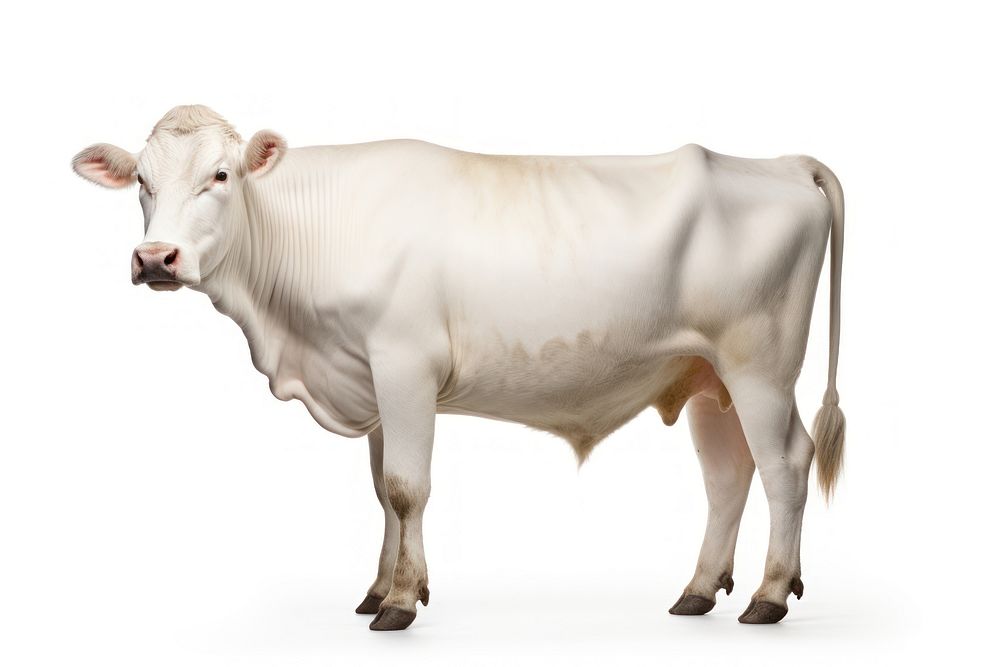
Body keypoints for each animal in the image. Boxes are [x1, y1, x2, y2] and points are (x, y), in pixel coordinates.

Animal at [73, 105, 845, 631]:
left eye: (221, 175)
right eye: (142, 181)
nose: (156, 258)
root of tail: (781, 163)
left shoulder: (404, 362)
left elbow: (407, 487)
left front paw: (401, 603)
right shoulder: (372, 379)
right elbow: (383, 492)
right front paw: (378, 590)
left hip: (761, 366)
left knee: (785, 463)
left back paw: (770, 594)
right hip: (709, 375)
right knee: (728, 474)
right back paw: (698, 589)